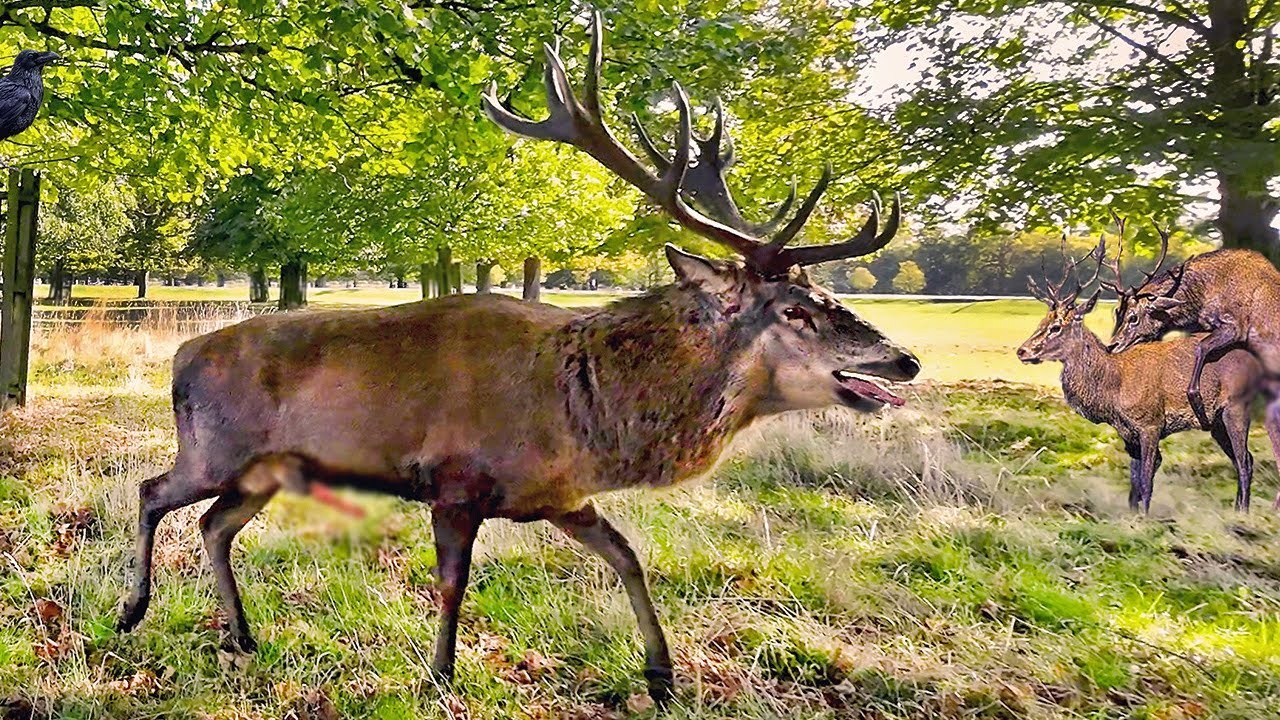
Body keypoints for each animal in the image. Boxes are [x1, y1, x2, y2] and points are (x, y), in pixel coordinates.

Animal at [114, 14, 920, 704]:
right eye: (795, 310)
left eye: (825, 294)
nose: (904, 361)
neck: (584, 420)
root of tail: (181, 355)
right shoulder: (456, 480)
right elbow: (453, 584)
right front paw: (440, 676)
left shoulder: (559, 497)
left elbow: (627, 555)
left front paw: (661, 675)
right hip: (216, 448)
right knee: (153, 491)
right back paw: (133, 610)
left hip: (264, 470)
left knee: (214, 526)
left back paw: (241, 637)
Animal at [1017, 239, 1264, 512]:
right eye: (1041, 322)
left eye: (1056, 326)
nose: (1022, 351)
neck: (1112, 392)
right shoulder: (1128, 434)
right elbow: (1133, 486)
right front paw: (1133, 517)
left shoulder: (1151, 423)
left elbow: (1146, 482)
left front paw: (1145, 519)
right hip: (1214, 422)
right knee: (1246, 459)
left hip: (1236, 408)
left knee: (1244, 463)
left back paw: (1243, 514)